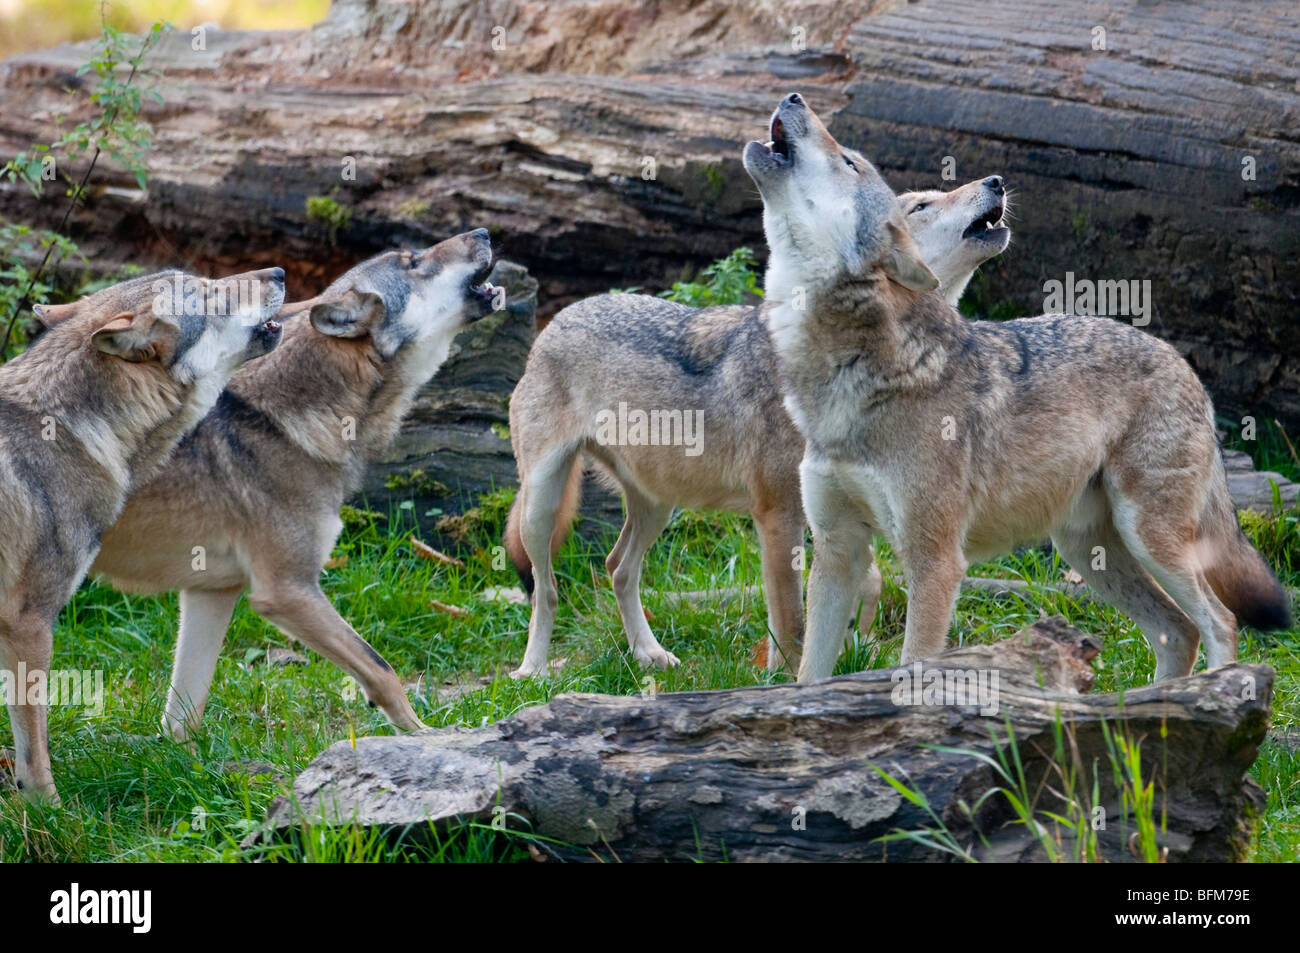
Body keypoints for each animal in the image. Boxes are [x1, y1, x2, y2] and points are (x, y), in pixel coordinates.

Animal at [1, 267, 285, 800]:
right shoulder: (28, 622)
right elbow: (35, 750)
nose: (278, 272)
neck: (73, 427)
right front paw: (50, 810)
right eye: (209, 292)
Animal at [89, 230, 498, 742]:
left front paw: (177, 762)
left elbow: (183, 717)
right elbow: (382, 669)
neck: (290, 420)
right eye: (414, 262)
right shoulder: (288, 590)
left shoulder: (212, 592)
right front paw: (424, 735)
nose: (483, 233)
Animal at [504, 178, 1010, 677]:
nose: (997, 181)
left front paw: (856, 645)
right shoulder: (777, 513)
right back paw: (534, 671)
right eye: (922, 205)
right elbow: (791, 620)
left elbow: (870, 583)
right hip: (542, 506)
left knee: (616, 566)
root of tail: (560, 316)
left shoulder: (837, 511)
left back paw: (649, 654)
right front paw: (785, 679)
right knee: (546, 589)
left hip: (658, 506)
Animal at [743, 93, 1291, 683]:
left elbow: (913, 666)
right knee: (1178, 631)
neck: (851, 374)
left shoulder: (936, 561)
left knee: (1219, 621)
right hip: (1089, 553)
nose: (794, 96)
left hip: (1149, 540)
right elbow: (807, 677)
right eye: (919, 203)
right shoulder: (837, 554)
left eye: (848, 161)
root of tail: (1181, 361)